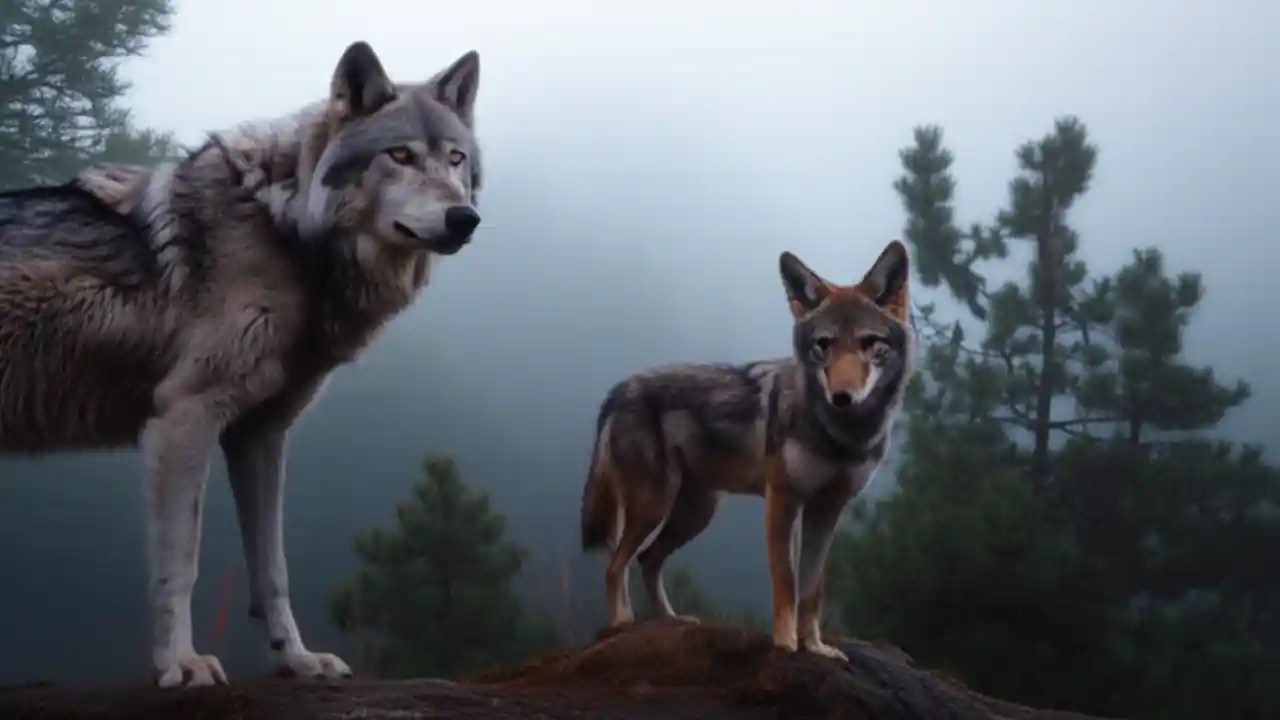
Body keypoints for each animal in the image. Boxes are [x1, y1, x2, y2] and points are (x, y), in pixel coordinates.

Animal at [0, 40, 484, 687]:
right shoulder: (183, 418)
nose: (465, 219)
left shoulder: (261, 433)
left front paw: (298, 660)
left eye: (455, 159)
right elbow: (180, 563)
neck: (285, 231)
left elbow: (272, 569)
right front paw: (180, 663)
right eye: (400, 154)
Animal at [579, 240, 913, 660]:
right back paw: (623, 623)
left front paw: (816, 647)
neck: (842, 436)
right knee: (615, 565)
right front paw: (786, 646)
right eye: (824, 346)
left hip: (695, 514)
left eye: (870, 343)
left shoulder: (827, 510)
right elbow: (786, 581)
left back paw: (672, 622)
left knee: (647, 560)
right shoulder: (783, 499)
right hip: (653, 506)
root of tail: (619, 388)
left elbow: (812, 589)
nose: (842, 397)